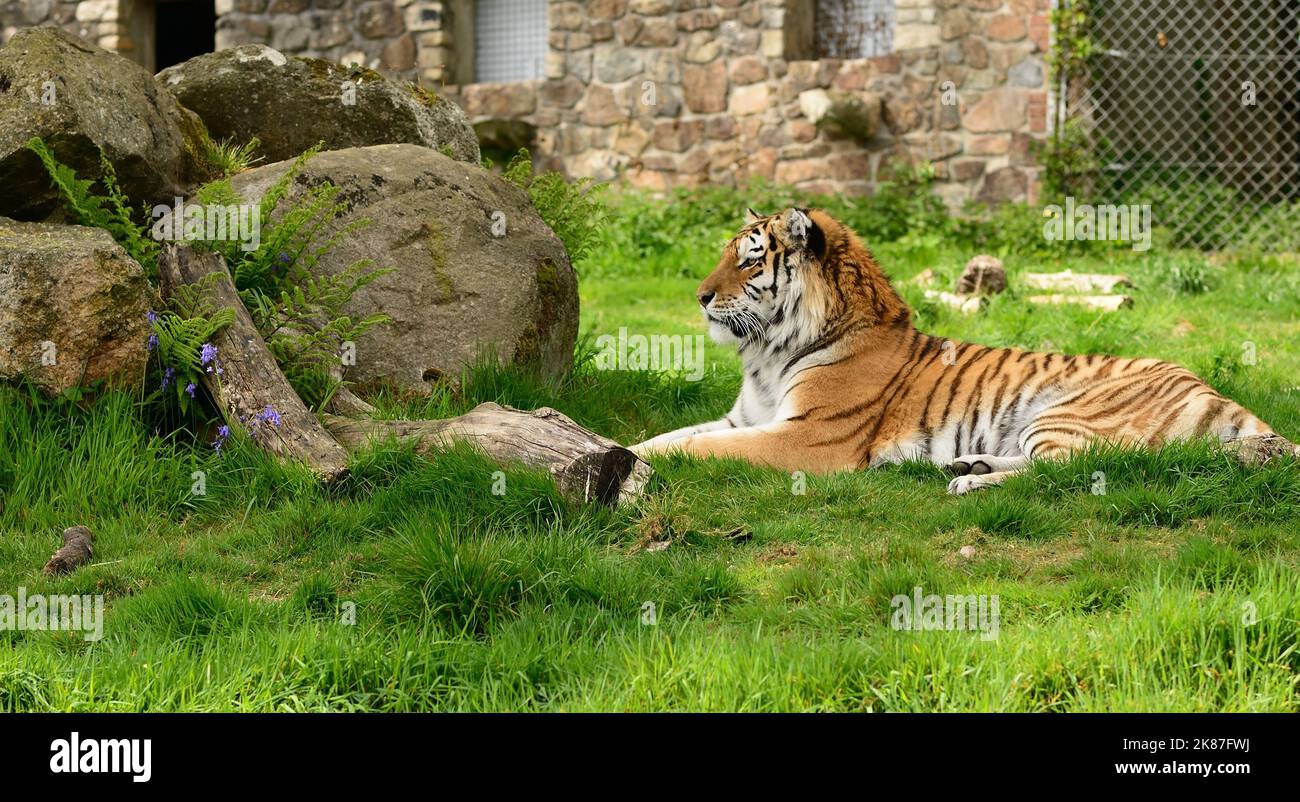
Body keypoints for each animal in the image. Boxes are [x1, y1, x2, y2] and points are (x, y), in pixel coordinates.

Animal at [632, 207, 1293, 494]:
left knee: (1074, 472)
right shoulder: (742, 417)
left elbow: (698, 449)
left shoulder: (804, 438)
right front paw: (624, 449)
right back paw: (966, 466)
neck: (769, 353)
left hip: (1063, 415)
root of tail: (1213, 389)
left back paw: (968, 484)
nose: (699, 297)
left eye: (749, 259)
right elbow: (669, 435)